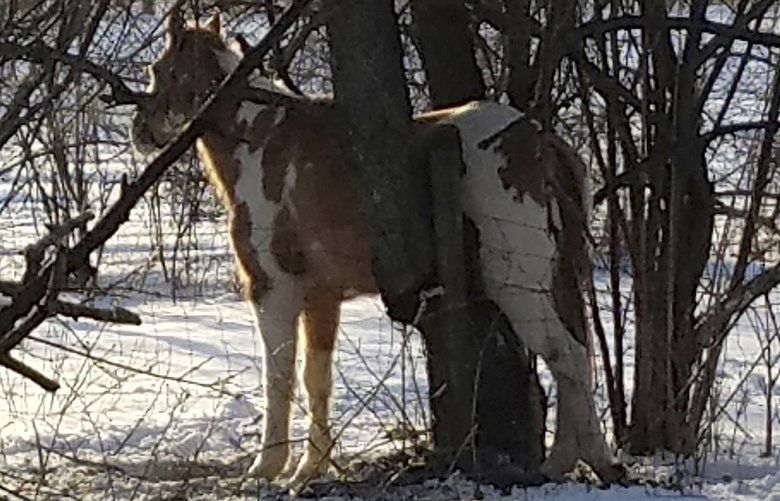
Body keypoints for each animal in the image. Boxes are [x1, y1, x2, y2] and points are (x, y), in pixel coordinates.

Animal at [131, 12, 616, 487]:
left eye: (161, 70)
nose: (141, 132)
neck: (263, 145)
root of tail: (538, 141)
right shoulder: (321, 297)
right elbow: (317, 379)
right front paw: (310, 468)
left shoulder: (273, 290)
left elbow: (279, 376)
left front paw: (268, 467)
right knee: (574, 356)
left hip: (520, 282)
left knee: (567, 356)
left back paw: (575, 461)